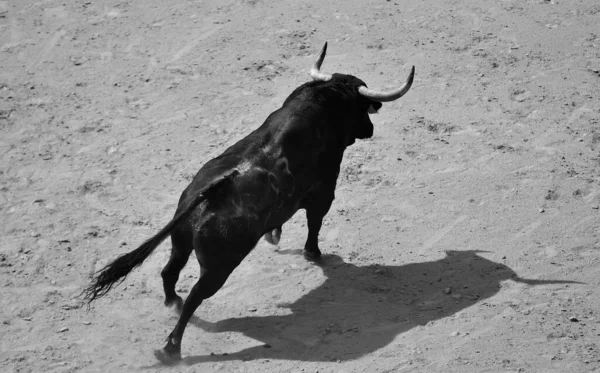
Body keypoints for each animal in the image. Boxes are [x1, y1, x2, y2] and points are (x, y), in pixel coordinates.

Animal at [82, 42, 414, 360]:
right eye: (363, 109)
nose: (370, 129)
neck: (324, 101)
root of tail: (209, 193)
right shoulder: (324, 190)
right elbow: (315, 223)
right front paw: (314, 254)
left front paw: (274, 235)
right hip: (220, 265)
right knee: (196, 296)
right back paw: (172, 347)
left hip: (181, 240)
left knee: (170, 272)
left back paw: (171, 303)